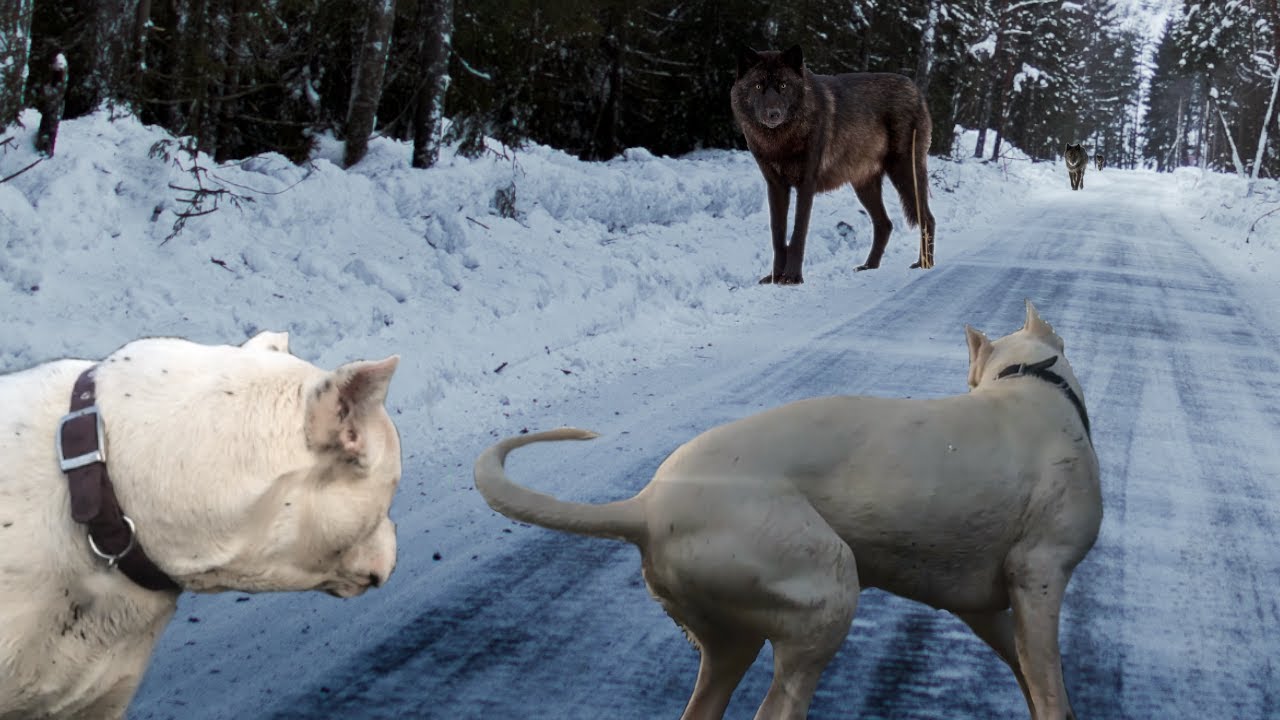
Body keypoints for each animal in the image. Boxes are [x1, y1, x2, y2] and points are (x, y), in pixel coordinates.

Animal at [476, 300, 1100, 720]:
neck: (1033, 383)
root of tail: (646, 506)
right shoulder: (1039, 578)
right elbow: (1048, 681)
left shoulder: (984, 608)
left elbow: (1025, 667)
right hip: (826, 586)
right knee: (777, 705)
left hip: (729, 639)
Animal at [732, 45, 936, 283]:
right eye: (758, 86)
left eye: (783, 85)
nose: (773, 114)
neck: (780, 142)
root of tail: (916, 89)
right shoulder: (776, 187)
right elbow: (778, 236)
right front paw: (775, 278)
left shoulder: (806, 185)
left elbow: (798, 234)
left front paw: (792, 278)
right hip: (865, 186)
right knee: (885, 224)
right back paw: (869, 266)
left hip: (903, 173)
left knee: (927, 219)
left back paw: (924, 265)